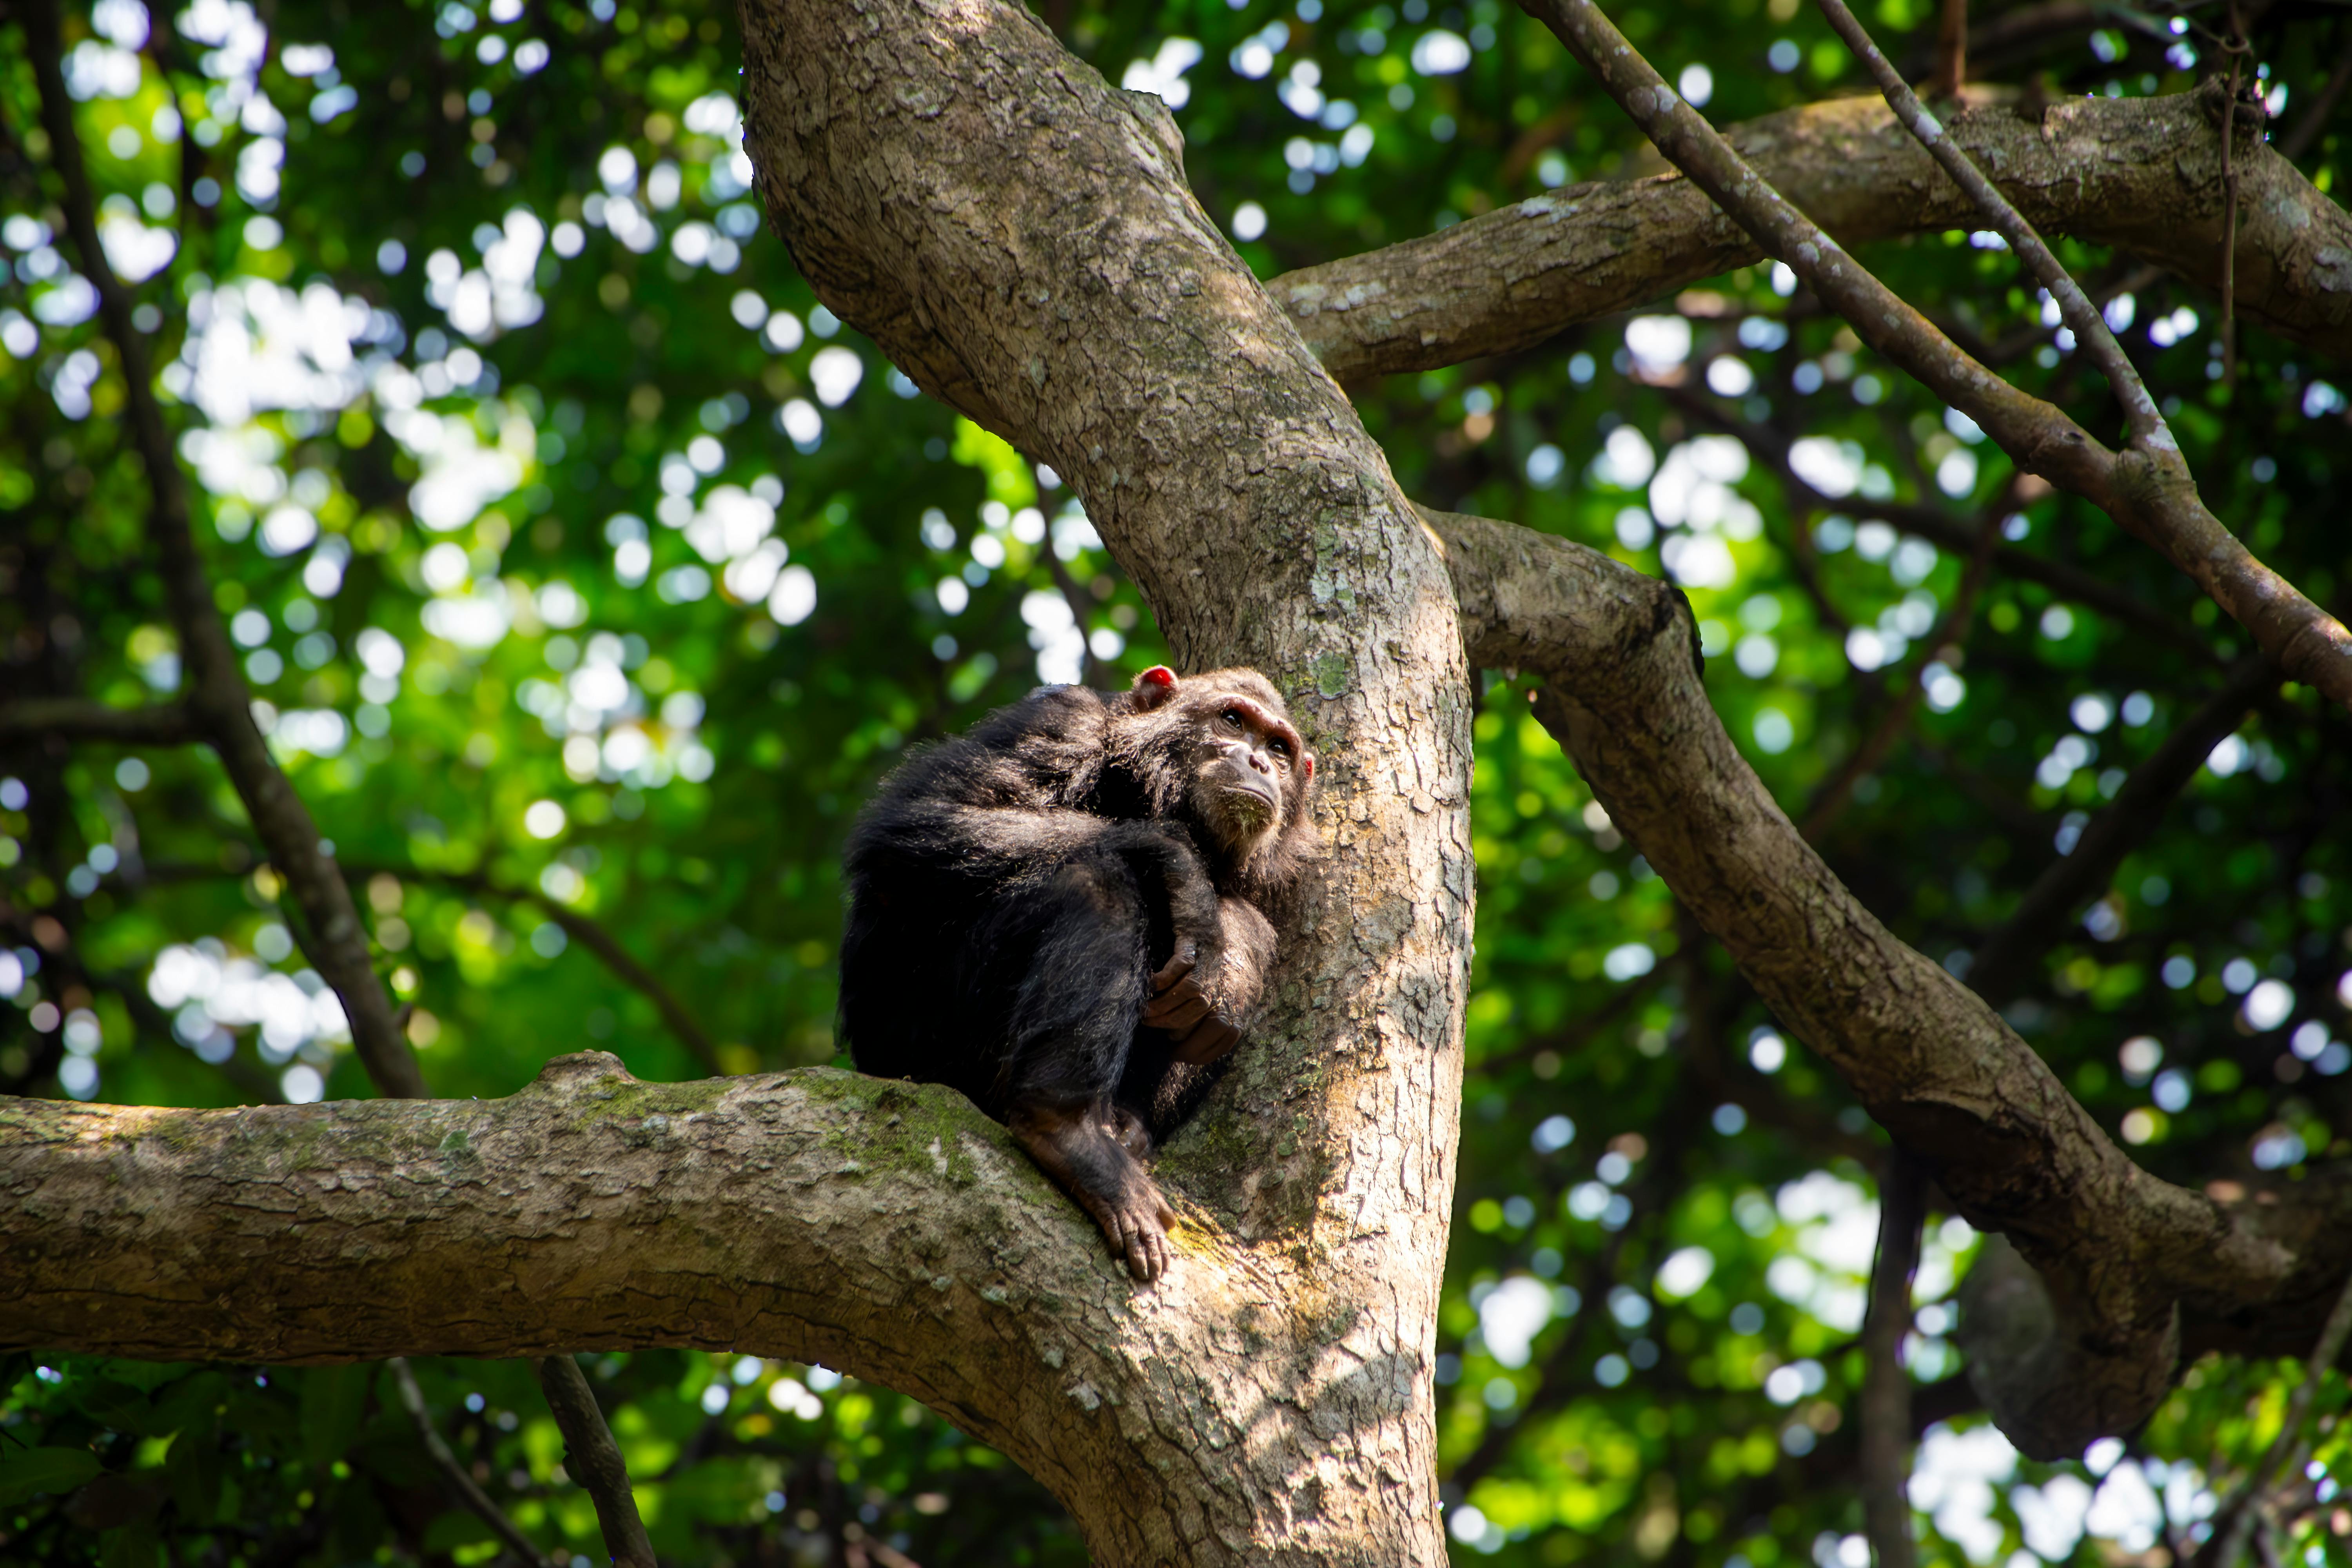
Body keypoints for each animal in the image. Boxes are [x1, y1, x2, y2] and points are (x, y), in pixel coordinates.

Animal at [838, 665, 1317, 1281]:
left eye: (1280, 750)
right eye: (1232, 720)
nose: (1258, 761)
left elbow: (1247, 929)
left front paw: (1234, 958)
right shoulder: (1057, 724)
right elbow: (922, 822)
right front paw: (1181, 864)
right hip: (924, 1048)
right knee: (1097, 881)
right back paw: (1071, 1132)